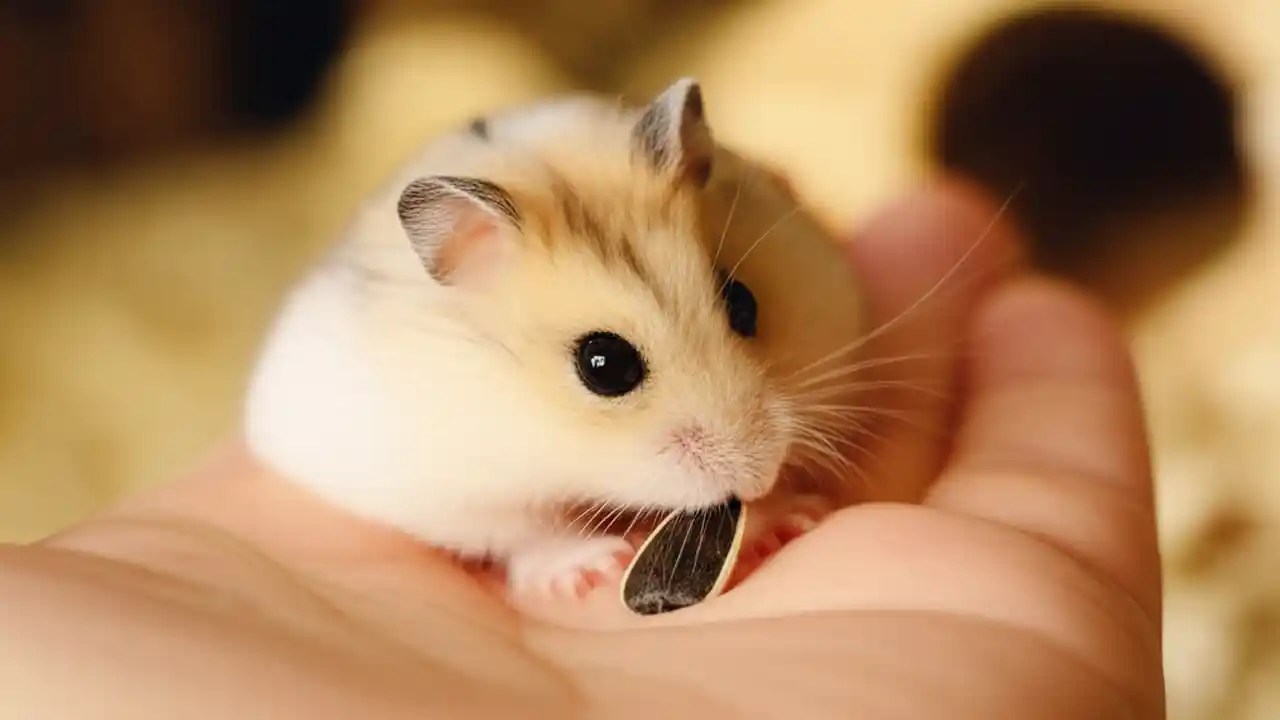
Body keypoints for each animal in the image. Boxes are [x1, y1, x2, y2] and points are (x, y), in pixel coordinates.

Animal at [243, 78, 867, 598]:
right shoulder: (450, 485)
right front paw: (593, 569)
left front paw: (790, 517)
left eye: (743, 303)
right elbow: (526, 529)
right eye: (603, 365)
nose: (758, 474)